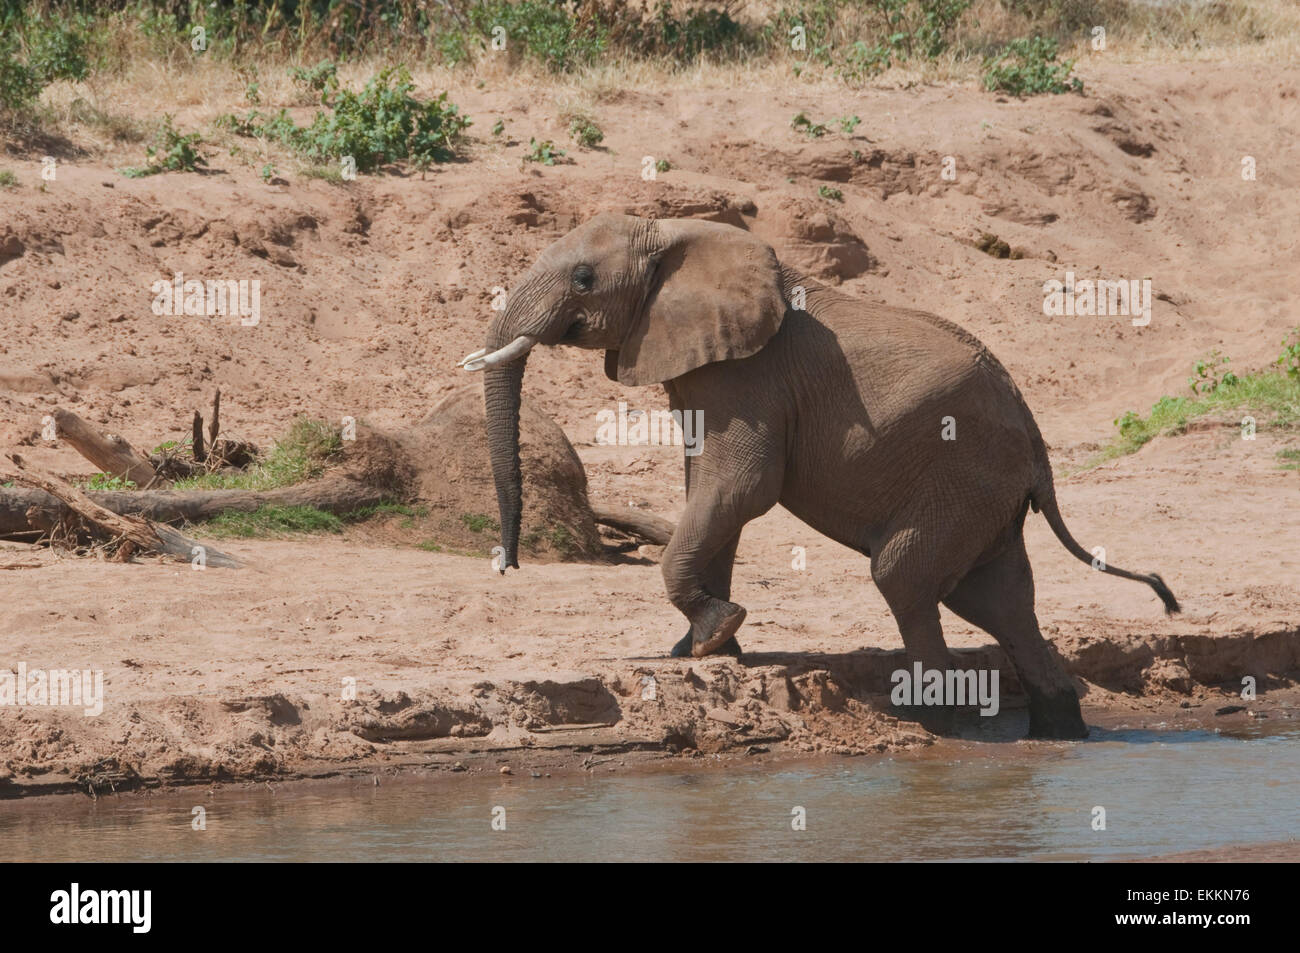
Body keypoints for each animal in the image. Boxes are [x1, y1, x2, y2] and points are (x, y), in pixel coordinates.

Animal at [460, 212, 1179, 739]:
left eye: (583, 278)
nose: (509, 564)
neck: (670, 231)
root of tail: (1037, 442)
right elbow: (708, 491)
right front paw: (704, 648)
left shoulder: (747, 374)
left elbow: (741, 485)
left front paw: (715, 629)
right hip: (984, 490)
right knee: (996, 598)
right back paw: (1055, 731)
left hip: (962, 475)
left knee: (907, 577)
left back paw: (938, 722)